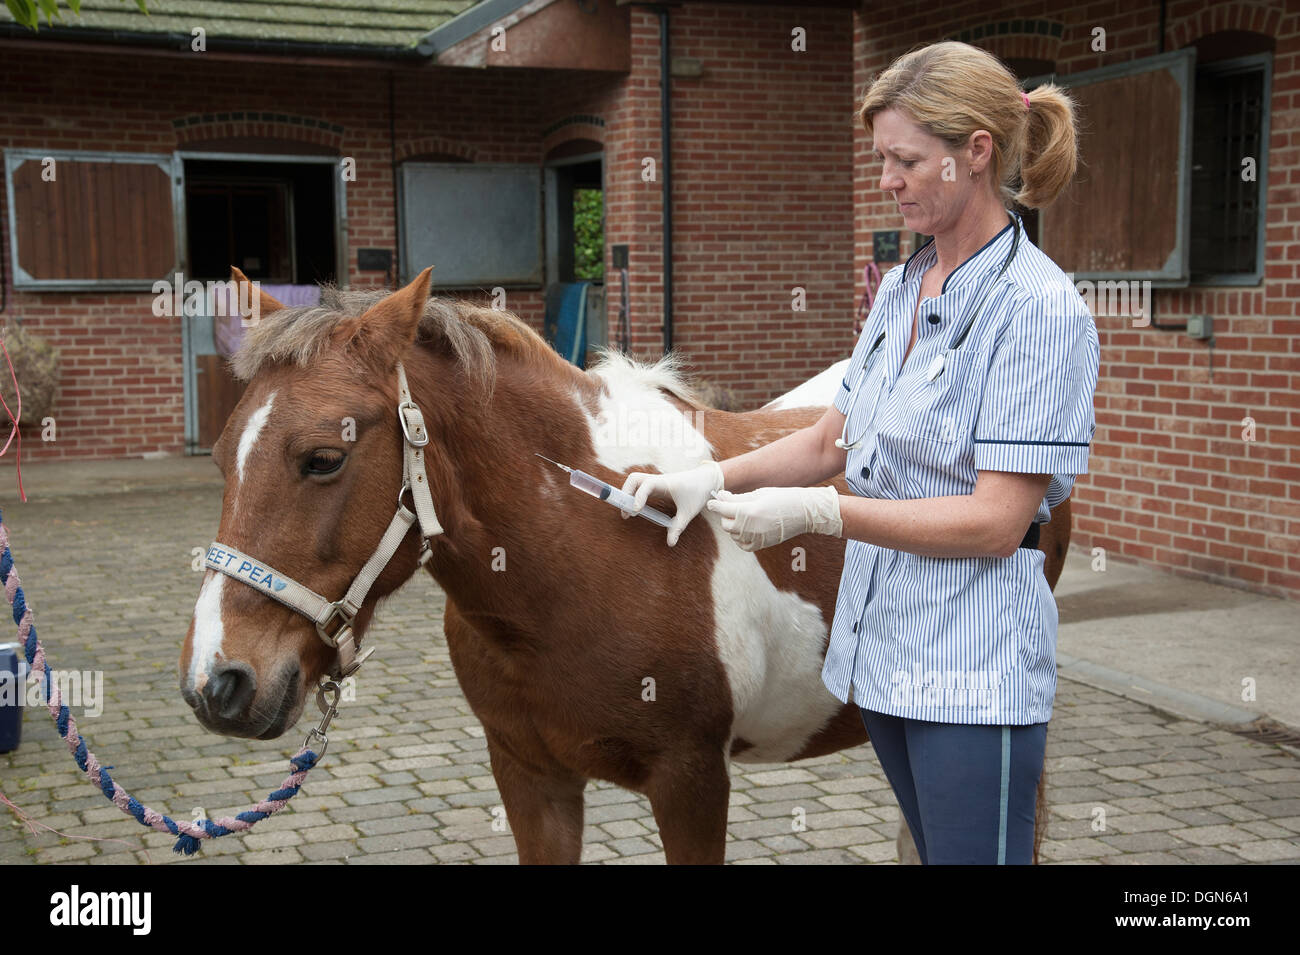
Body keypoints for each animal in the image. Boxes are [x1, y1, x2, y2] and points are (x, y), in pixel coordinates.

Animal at [179, 268, 1070, 864]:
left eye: (323, 459)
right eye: (221, 457)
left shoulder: (692, 783)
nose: (219, 684)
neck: (583, 544)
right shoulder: (528, 776)